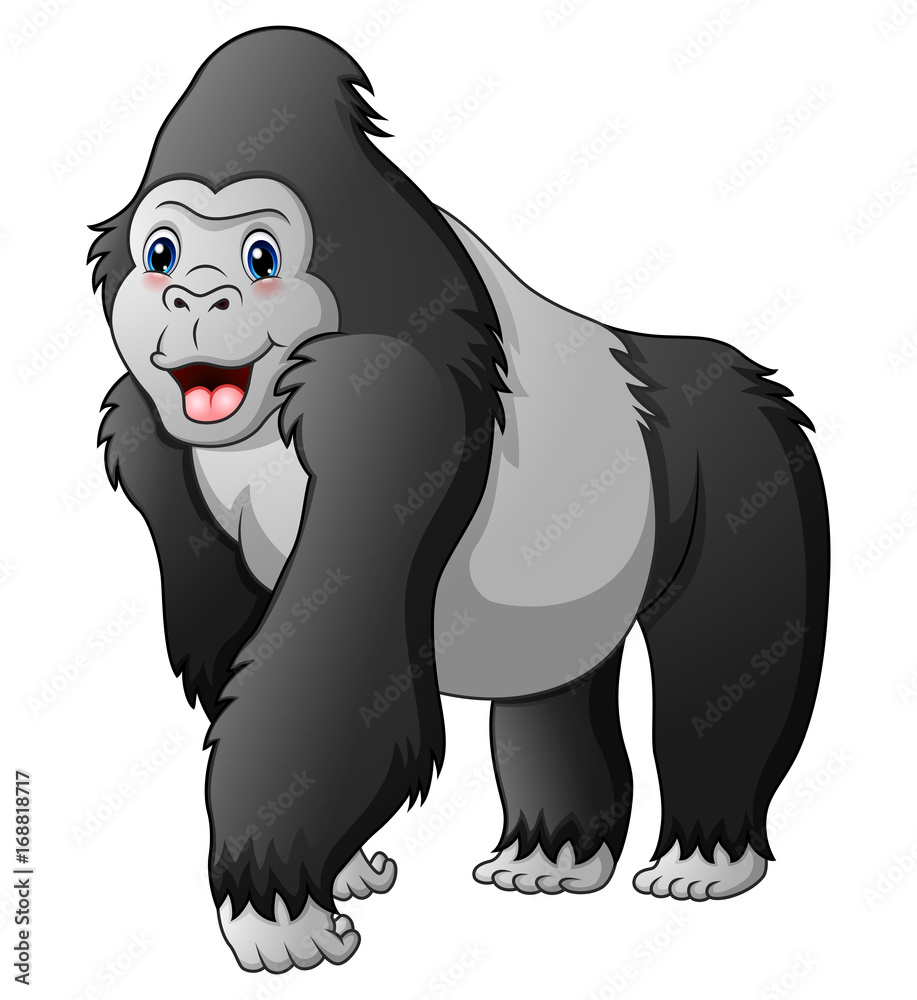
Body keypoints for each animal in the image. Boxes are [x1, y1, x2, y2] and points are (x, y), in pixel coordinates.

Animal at [89, 26, 829, 972]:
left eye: (259, 261)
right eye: (162, 256)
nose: (194, 297)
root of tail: (742, 375)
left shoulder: (389, 399)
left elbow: (333, 662)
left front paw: (269, 905)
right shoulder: (147, 435)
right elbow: (230, 639)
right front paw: (337, 872)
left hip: (751, 454)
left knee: (725, 670)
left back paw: (708, 856)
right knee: (555, 688)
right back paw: (553, 855)